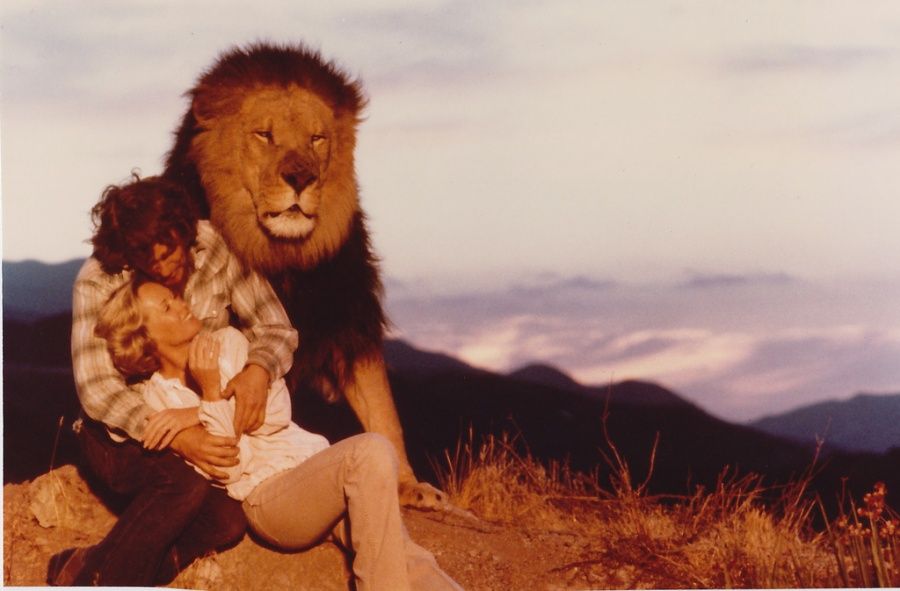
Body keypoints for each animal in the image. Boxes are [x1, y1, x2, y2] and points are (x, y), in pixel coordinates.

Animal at [163, 43, 445, 509]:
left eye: (317, 138)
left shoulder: (350, 318)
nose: (301, 177)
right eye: (264, 135)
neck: (282, 256)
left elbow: (382, 410)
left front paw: (408, 485)